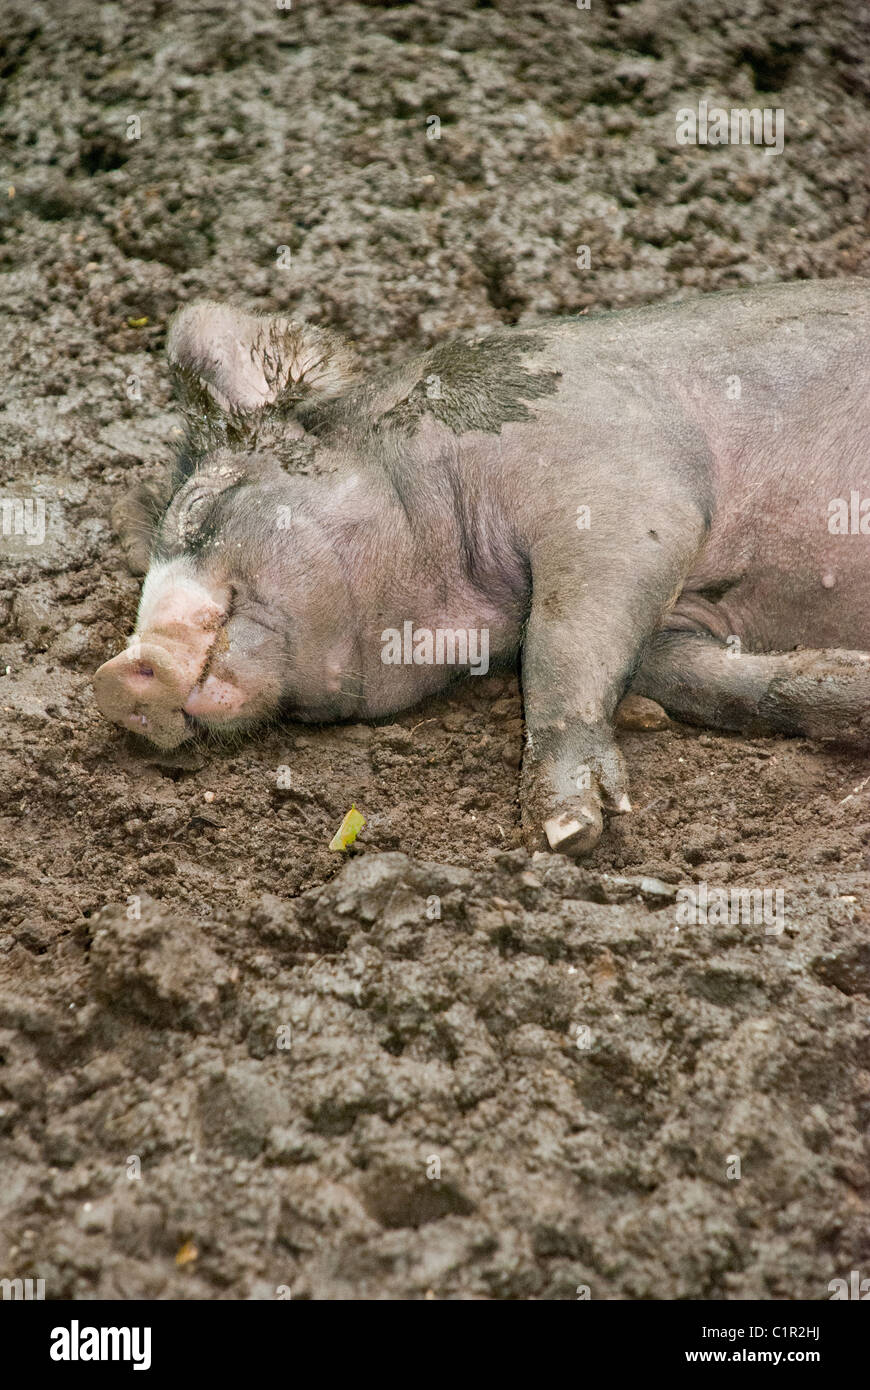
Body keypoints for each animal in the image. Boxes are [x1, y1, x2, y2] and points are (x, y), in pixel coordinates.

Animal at [94, 278, 870, 855]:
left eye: (201, 510)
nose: (110, 678)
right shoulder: (680, 619)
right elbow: (696, 680)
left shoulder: (625, 488)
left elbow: (559, 640)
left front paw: (565, 832)